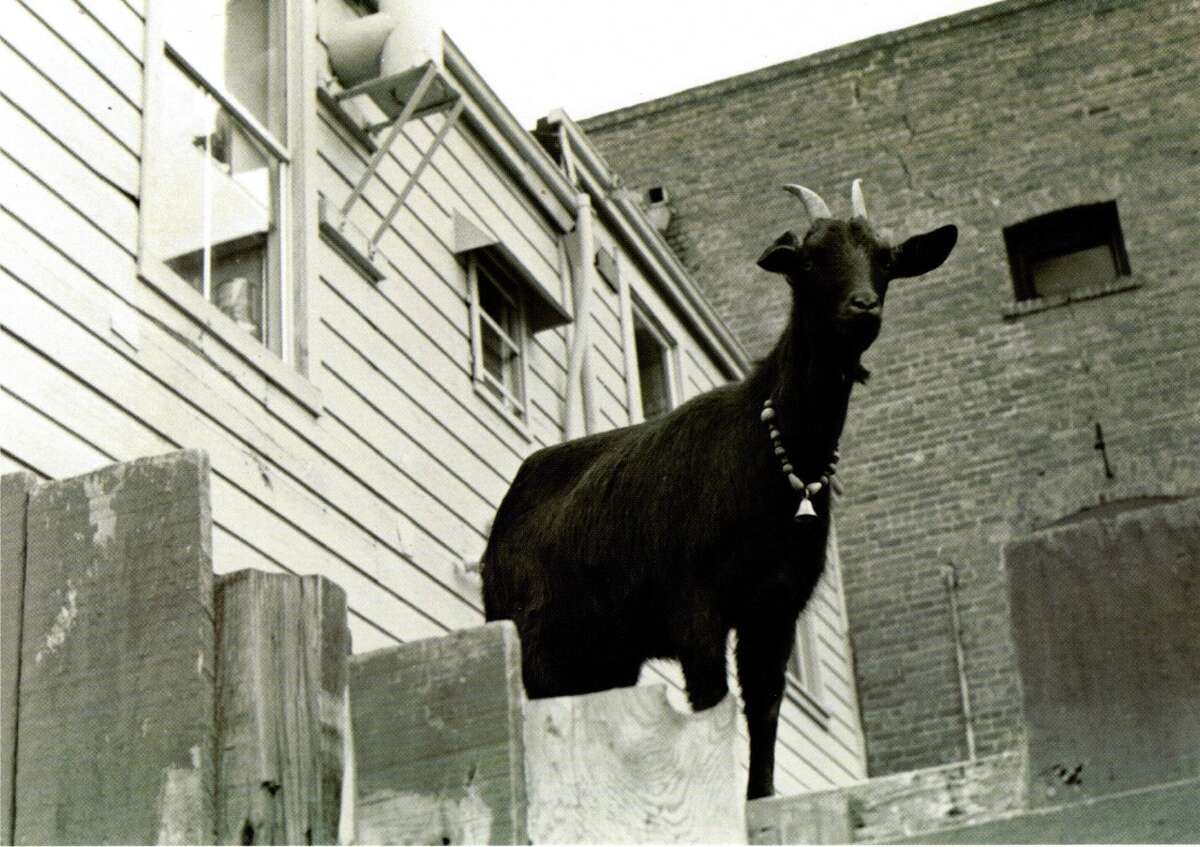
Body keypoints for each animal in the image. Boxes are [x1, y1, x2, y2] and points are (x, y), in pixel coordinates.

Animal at [482, 181, 957, 799]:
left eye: (886, 259)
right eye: (807, 260)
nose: (862, 307)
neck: (777, 457)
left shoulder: (775, 608)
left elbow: (765, 706)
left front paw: (760, 796)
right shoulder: (697, 606)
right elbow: (713, 704)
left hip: (605, 651)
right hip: (530, 635)